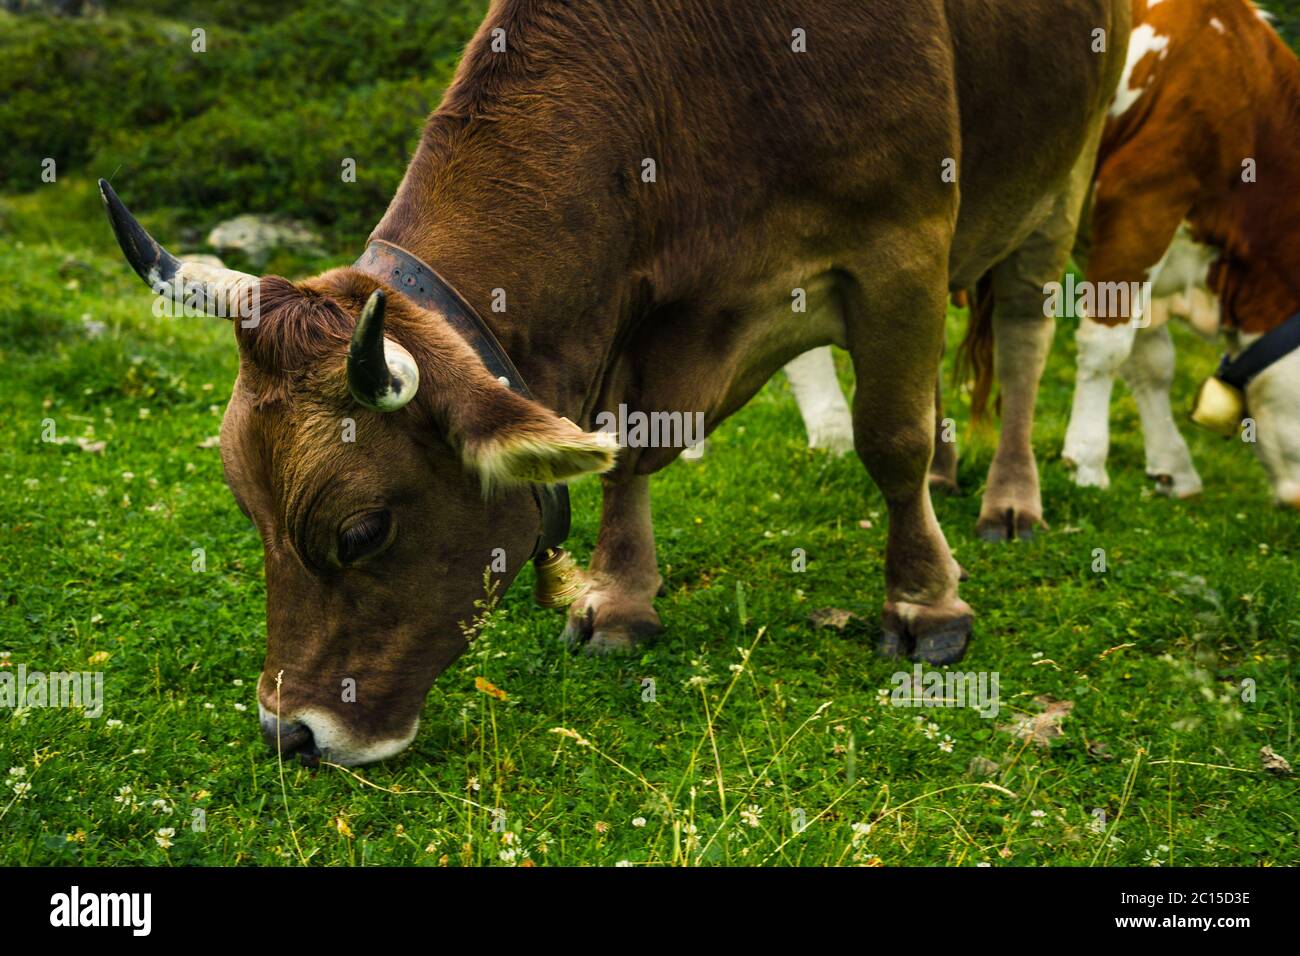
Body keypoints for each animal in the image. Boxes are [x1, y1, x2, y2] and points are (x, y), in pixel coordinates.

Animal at [100, 0, 1130, 765]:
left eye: (362, 531)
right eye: (250, 512)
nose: (291, 733)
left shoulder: (901, 246)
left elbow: (890, 437)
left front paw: (925, 602)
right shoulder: (650, 302)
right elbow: (628, 447)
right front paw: (622, 599)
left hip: (1064, 174)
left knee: (1024, 341)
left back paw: (1008, 500)